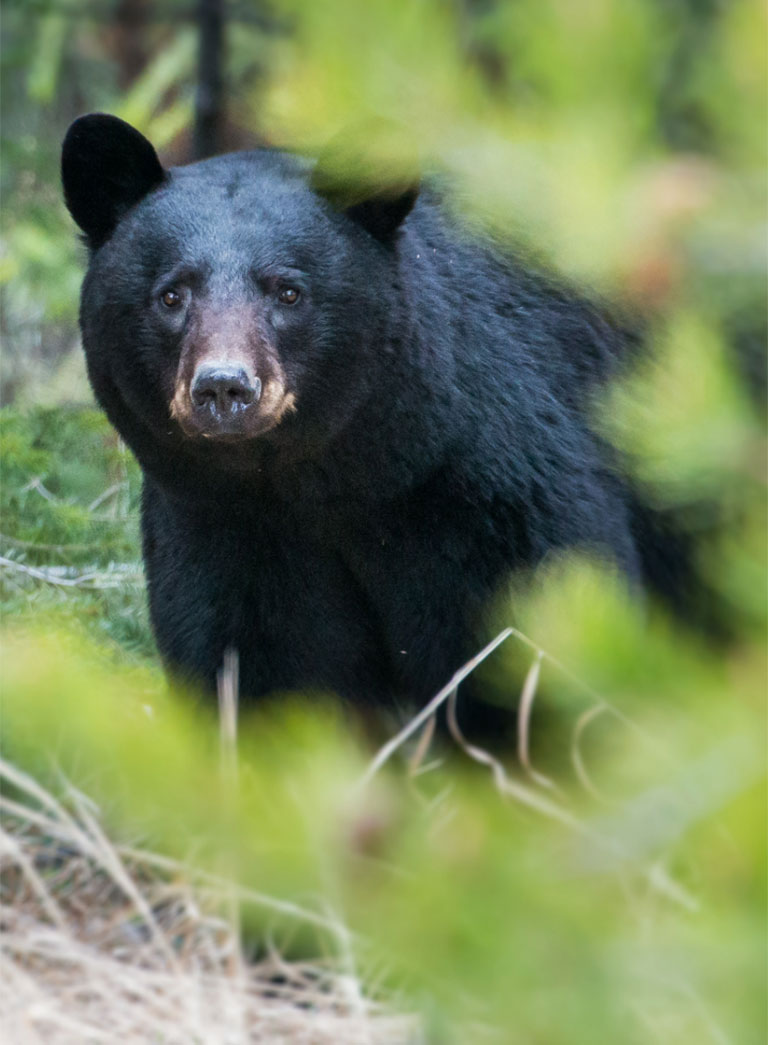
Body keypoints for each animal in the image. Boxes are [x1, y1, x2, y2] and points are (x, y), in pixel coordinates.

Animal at [61, 113, 655, 729]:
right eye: (172, 295)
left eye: (289, 291)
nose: (224, 386)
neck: (335, 483)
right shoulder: (224, 526)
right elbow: (260, 668)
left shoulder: (496, 497)